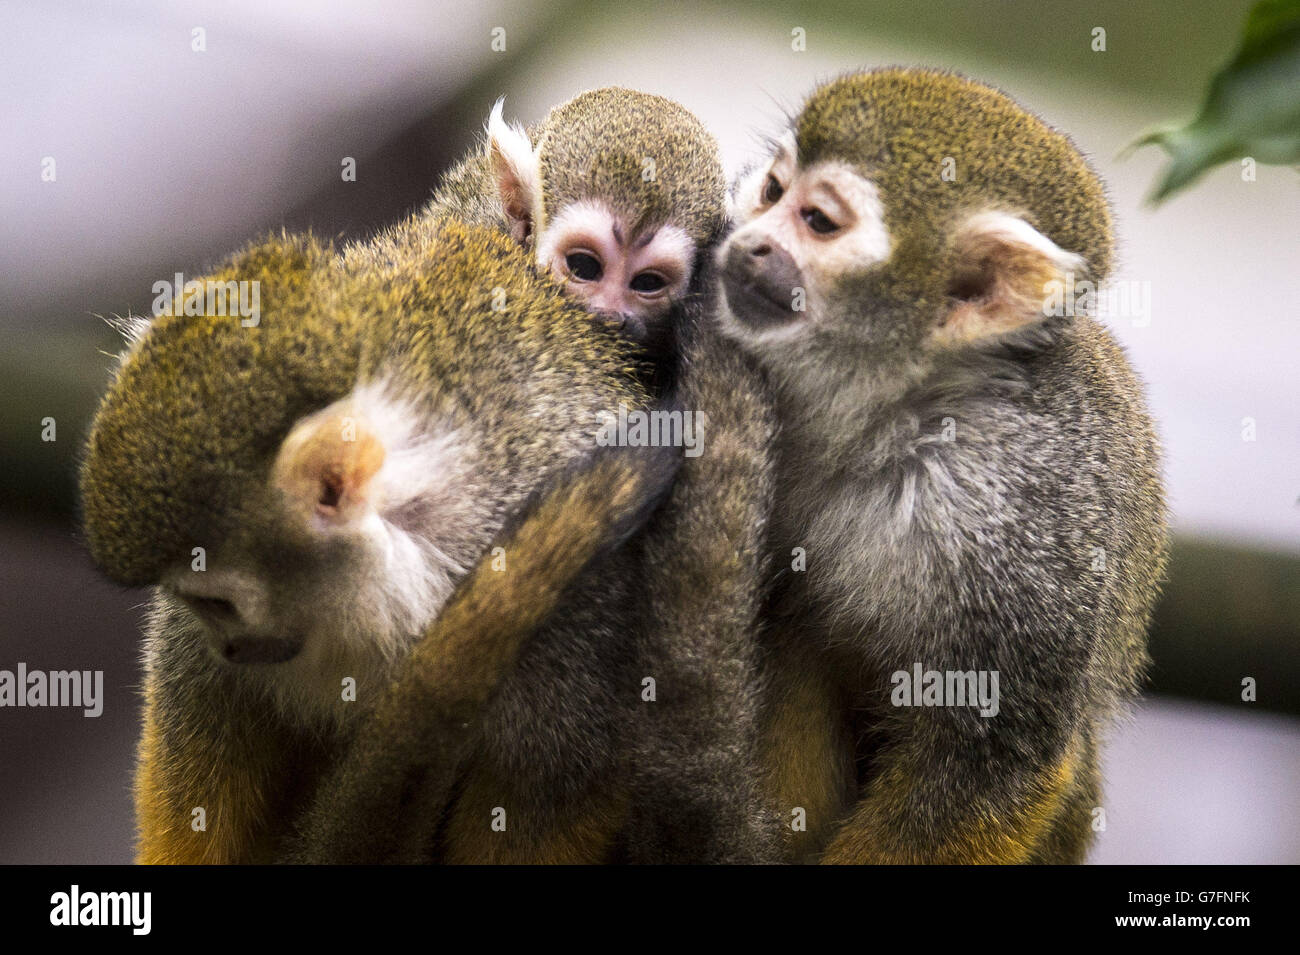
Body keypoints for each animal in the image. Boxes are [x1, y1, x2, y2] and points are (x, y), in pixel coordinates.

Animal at [715, 68, 1170, 863]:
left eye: (818, 222)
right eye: (770, 190)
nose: (750, 243)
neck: (885, 413)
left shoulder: (1021, 511)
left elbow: (988, 763)